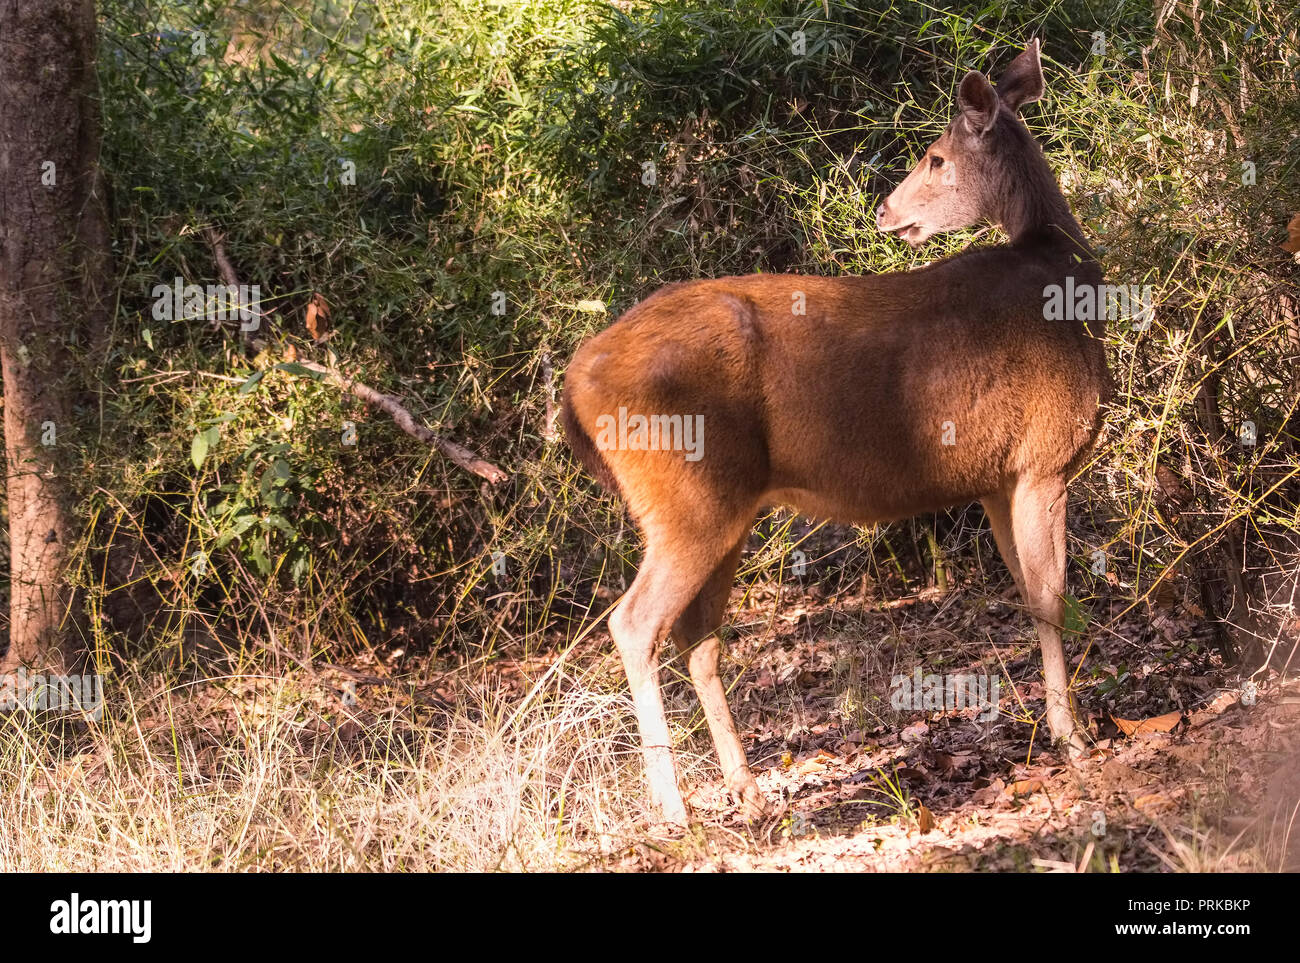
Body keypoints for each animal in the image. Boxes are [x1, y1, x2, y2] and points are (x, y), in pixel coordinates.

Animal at [561, 40, 1110, 825]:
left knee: (698, 638)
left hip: (720, 508)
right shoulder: (1043, 456)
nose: (884, 210)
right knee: (633, 623)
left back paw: (747, 789)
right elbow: (1049, 596)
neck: (1059, 273)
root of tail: (573, 385)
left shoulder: (997, 478)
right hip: (688, 497)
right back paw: (675, 807)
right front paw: (1071, 736)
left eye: (935, 158)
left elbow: (1029, 592)